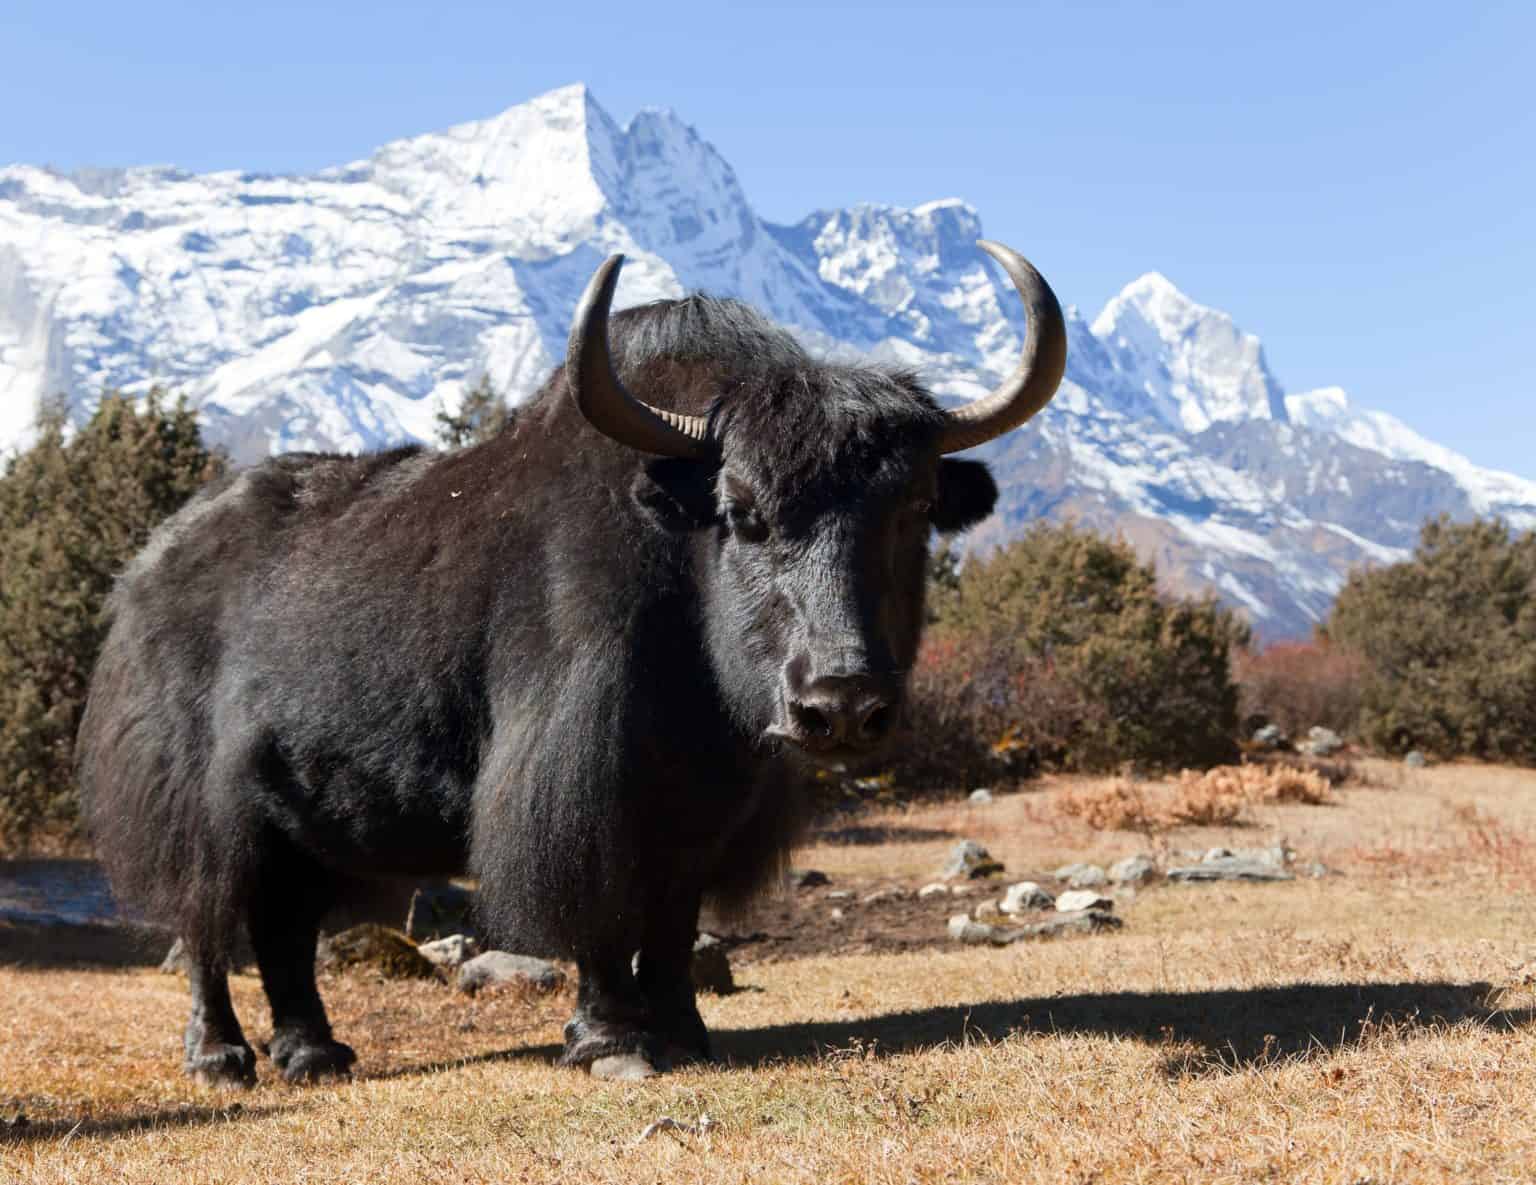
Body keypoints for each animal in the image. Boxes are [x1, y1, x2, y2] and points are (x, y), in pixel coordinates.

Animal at [77, 241, 1066, 1082]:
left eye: (915, 509)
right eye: (743, 511)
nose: (844, 704)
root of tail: (139, 574)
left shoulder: (708, 803)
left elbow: (672, 913)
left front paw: (684, 1032)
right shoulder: (581, 773)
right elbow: (596, 897)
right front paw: (610, 1041)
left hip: (309, 819)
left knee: (284, 925)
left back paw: (315, 1052)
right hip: (195, 803)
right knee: (206, 920)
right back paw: (221, 1057)